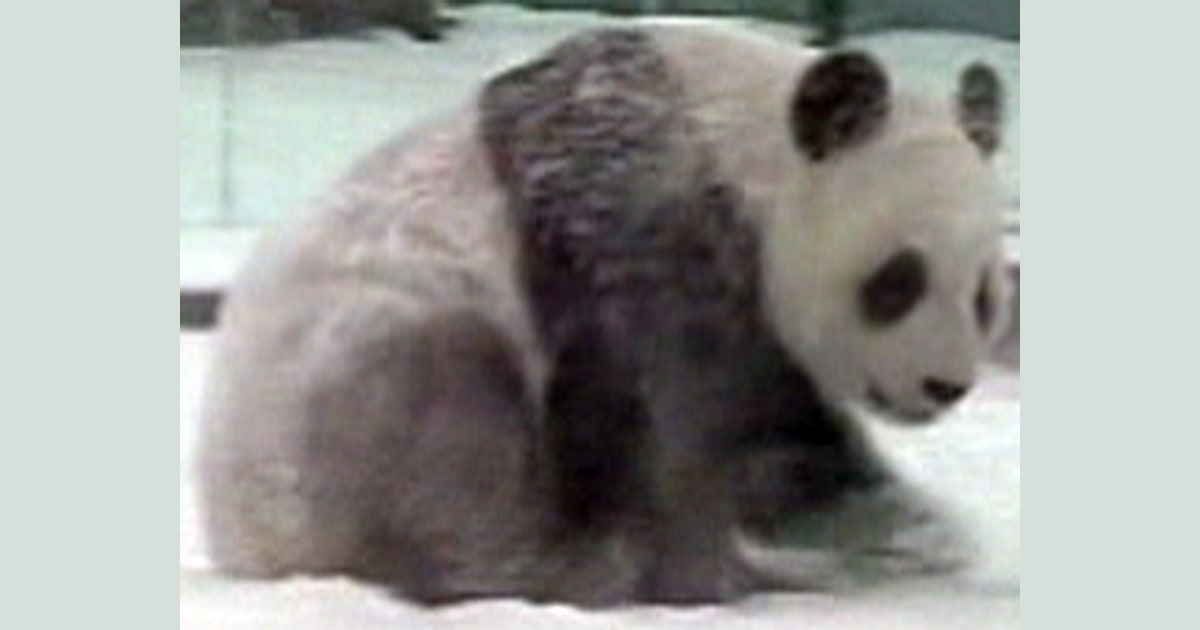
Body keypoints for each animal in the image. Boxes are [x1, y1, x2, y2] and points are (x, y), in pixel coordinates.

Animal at [196, 22, 1011, 607]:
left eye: (983, 293)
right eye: (897, 281)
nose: (943, 386)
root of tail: (245, 545)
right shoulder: (645, 221)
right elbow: (703, 422)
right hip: (345, 383)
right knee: (453, 435)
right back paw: (562, 566)